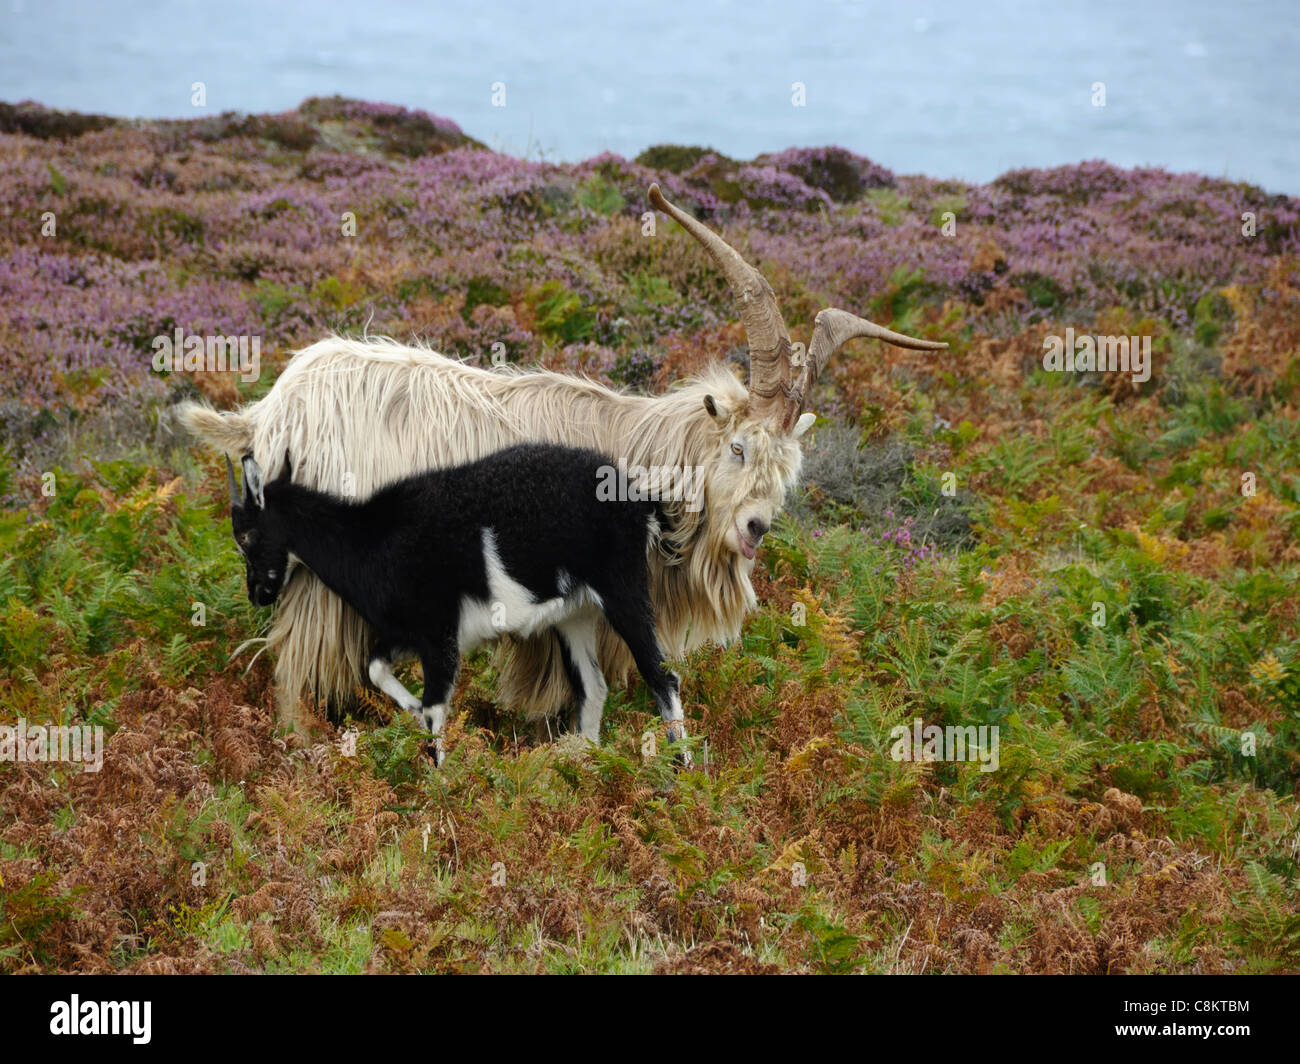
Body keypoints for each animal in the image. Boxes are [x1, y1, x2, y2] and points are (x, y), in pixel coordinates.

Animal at [226, 443, 686, 764]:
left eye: (245, 536)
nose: (257, 594)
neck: (371, 541)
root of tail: (637, 499)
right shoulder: (409, 634)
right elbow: (375, 668)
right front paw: (409, 709)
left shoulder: (438, 633)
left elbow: (434, 707)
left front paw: (440, 783)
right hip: (575, 613)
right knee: (592, 687)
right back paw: (584, 766)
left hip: (623, 587)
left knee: (661, 677)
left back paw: (681, 767)